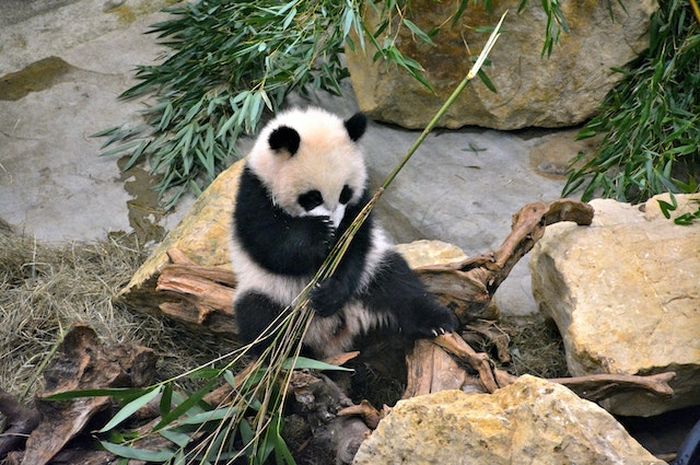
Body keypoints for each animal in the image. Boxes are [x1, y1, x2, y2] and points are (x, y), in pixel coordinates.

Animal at [230, 107, 458, 358]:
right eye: (312, 198)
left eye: (344, 193)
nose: (336, 225)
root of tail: (336, 333)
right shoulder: (254, 194)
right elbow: (271, 247)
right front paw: (317, 231)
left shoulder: (361, 204)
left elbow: (355, 245)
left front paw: (330, 292)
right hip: (271, 292)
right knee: (262, 321)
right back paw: (295, 357)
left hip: (371, 275)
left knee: (400, 287)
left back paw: (437, 321)